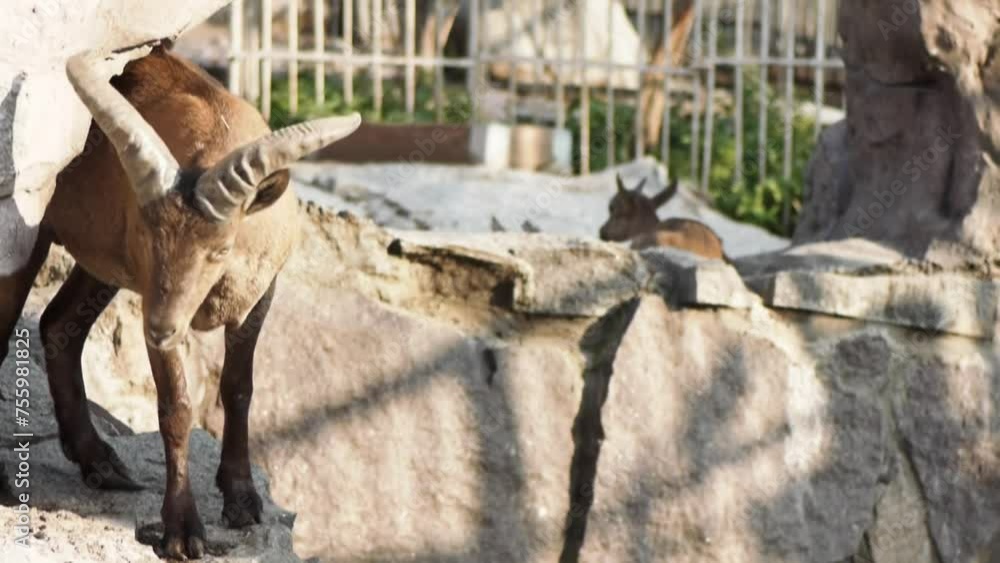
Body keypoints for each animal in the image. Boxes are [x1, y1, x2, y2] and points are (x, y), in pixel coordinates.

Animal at [0, 46, 360, 559]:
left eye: (221, 249)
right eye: (146, 236)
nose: (159, 327)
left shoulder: (259, 295)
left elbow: (239, 387)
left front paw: (241, 498)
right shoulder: (156, 298)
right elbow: (177, 408)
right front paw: (183, 530)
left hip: (100, 267)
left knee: (57, 325)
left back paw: (101, 464)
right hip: (30, 236)